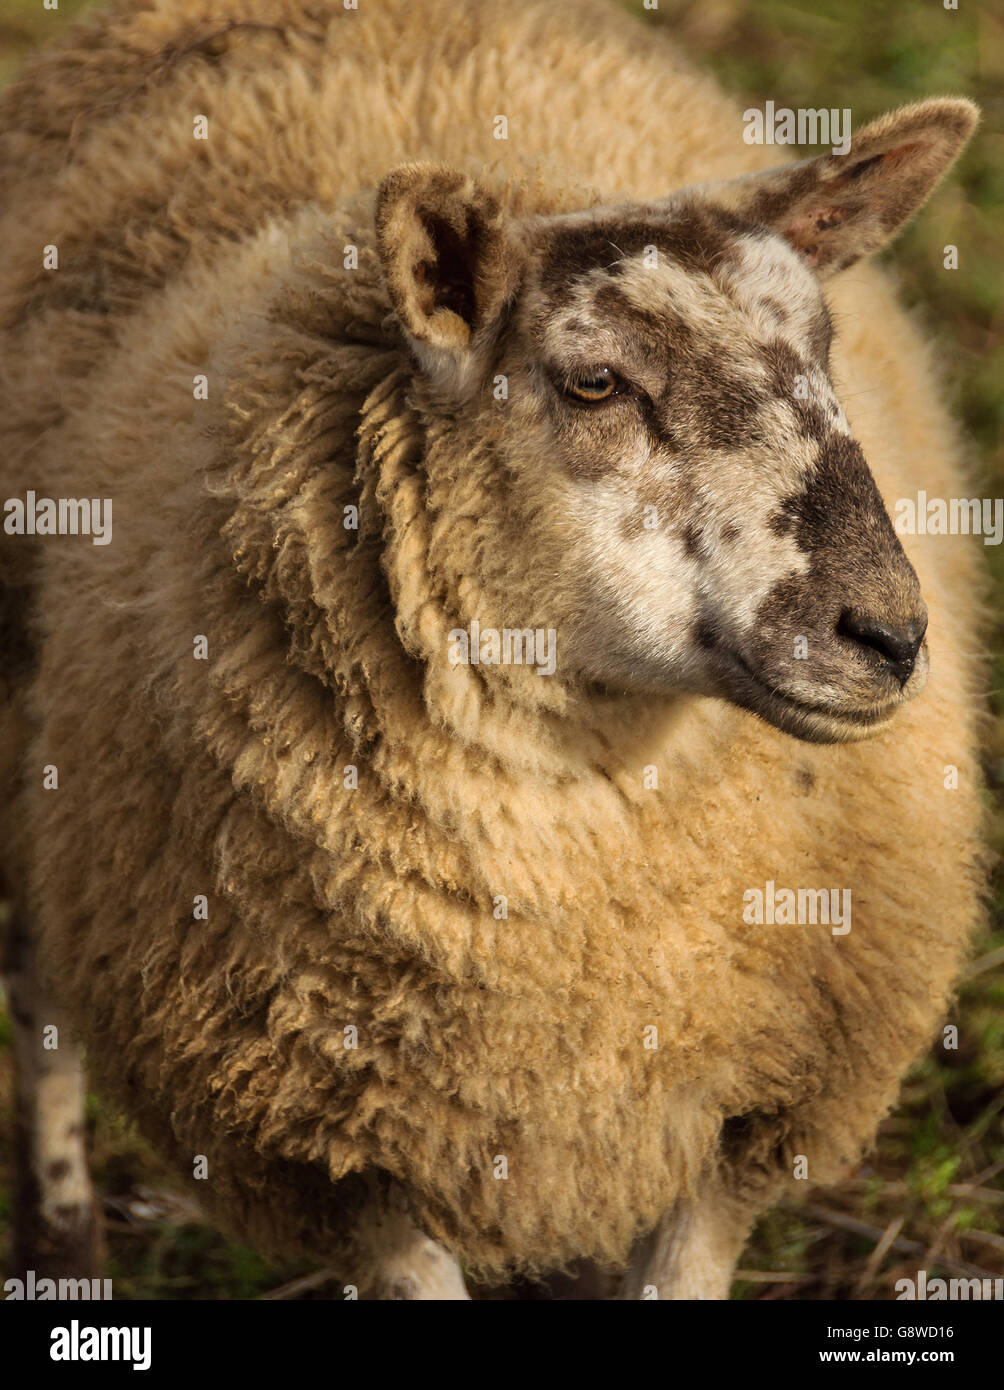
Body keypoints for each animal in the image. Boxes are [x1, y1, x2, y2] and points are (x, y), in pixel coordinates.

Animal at [0, 0, 986, 1300]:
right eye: (594, 382)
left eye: (821, 357)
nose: (885, 631)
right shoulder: (329, 1149)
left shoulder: (749, 1116)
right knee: (38, 992)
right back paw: (60, 1238)